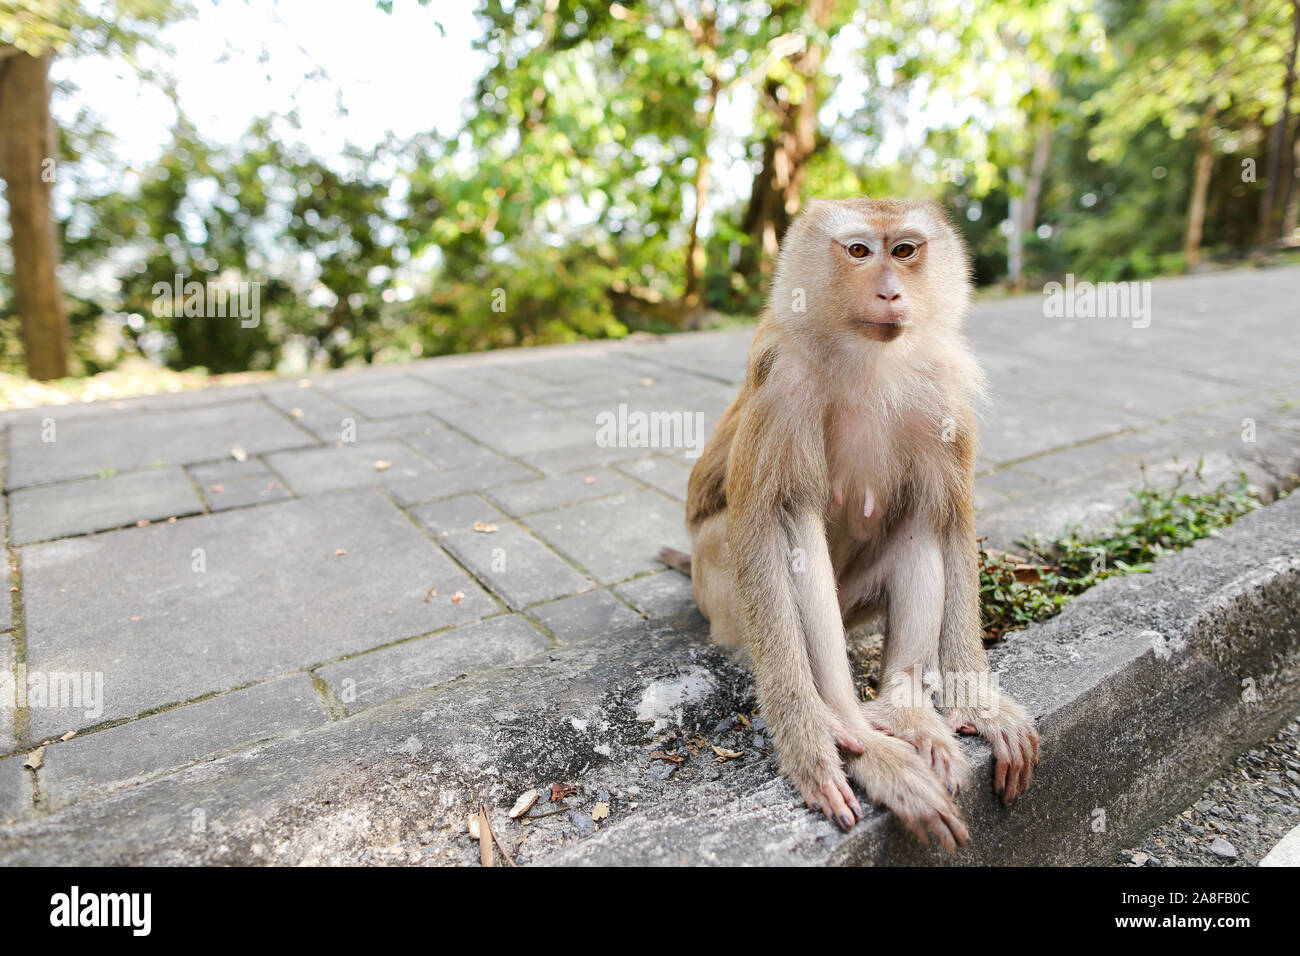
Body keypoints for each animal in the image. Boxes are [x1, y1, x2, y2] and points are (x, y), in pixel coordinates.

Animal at [659, 197, 1039, 851]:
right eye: (860, 251)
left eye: (904, 250)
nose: (889, 291)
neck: (869, 355)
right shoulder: (780, 377)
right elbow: (763, 528)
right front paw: (808, 740)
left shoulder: (947, 392)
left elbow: (951, 519)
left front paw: (979, 703)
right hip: (719, 592)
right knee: (790, 530)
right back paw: (852, 728)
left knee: (921, 517)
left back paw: (903, 713)